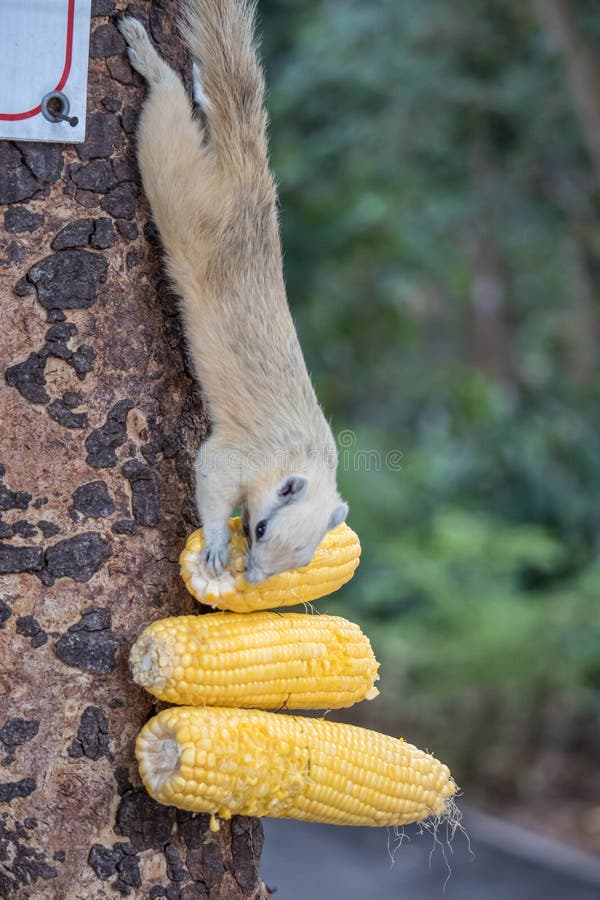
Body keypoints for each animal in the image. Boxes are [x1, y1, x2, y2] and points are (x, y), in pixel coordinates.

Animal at [117, 1, 348, 584]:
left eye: (304, 558)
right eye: (261, 528)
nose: (254, 579)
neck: (301, 453)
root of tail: (250, 182)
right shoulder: (236, 453)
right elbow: (210, 478)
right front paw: (218, 544)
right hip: (175, 182)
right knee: (168, 112)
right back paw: (147, 56)